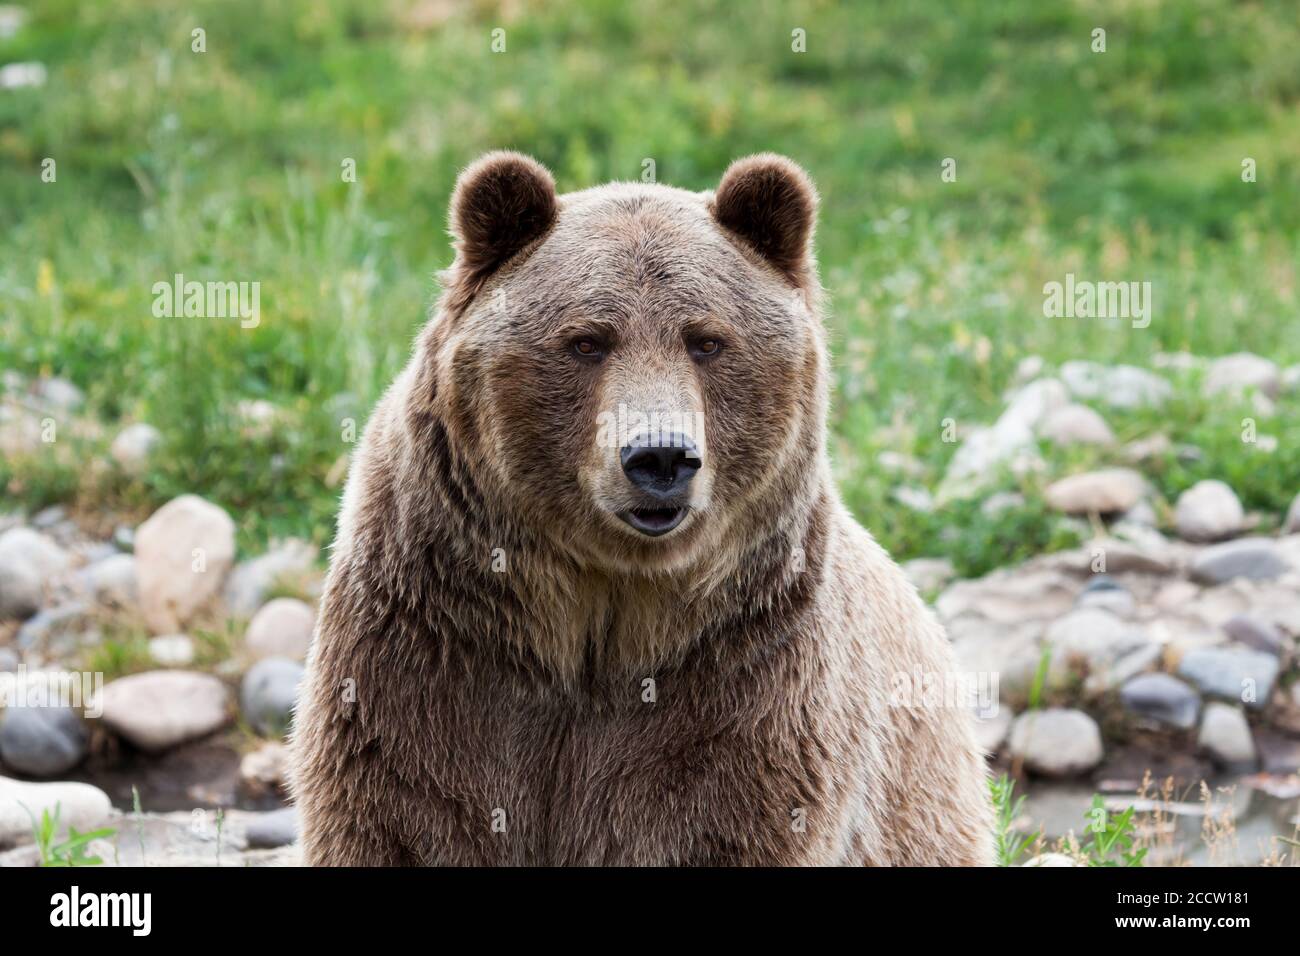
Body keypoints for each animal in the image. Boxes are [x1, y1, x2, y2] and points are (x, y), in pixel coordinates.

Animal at [289, 151, 994, 866]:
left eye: (707, 341)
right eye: (586, 341)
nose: (660, 456)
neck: (602, 608)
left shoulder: (748, 674)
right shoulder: (433, 643)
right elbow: (404, 811)